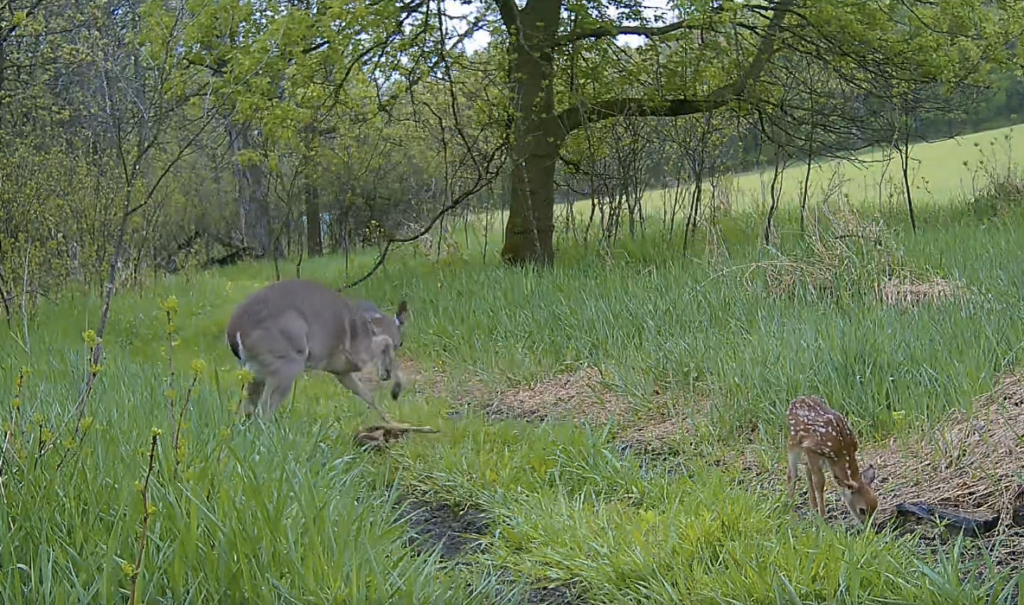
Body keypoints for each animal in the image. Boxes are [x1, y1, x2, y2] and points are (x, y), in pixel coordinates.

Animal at [225, 278, 436, 433]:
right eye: (401, 343)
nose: (385, 375)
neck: (371, 324)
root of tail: (235, 333)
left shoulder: (340, 371)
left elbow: (368, 396)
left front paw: (401, 424)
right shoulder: (360, 353)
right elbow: (385, 341)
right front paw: (395, 389)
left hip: (255, 370)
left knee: (249, 408)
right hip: (289, 361)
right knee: (265, 408)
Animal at [786, 395, 878, 524]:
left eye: (876, 506)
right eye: (862, 510)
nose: (870, 527)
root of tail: (796, 400)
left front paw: (818, 514)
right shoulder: (813, 451)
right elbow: (819, 483)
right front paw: (823, 518)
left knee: (806, 471)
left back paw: (813, 509)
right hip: (793, 442)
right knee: (792, 474)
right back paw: (791, 511)